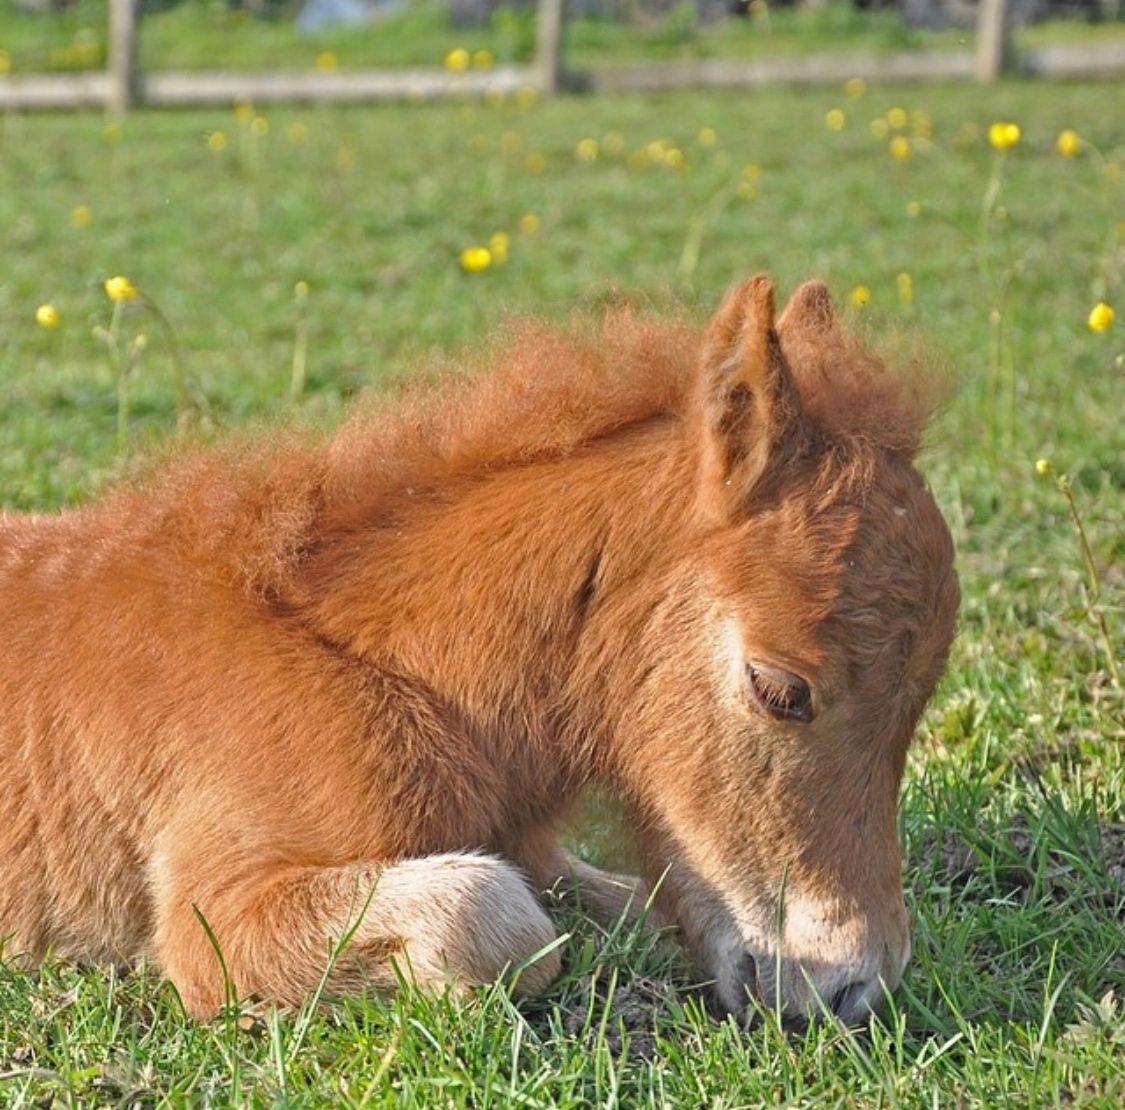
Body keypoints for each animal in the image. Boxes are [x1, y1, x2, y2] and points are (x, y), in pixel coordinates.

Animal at [0, 275, 958, 1024]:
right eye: (778, 688)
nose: (851, 990)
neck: (392, 671)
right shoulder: (214, 920)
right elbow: (501, 921)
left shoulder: (544, 853)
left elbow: (636, 904)